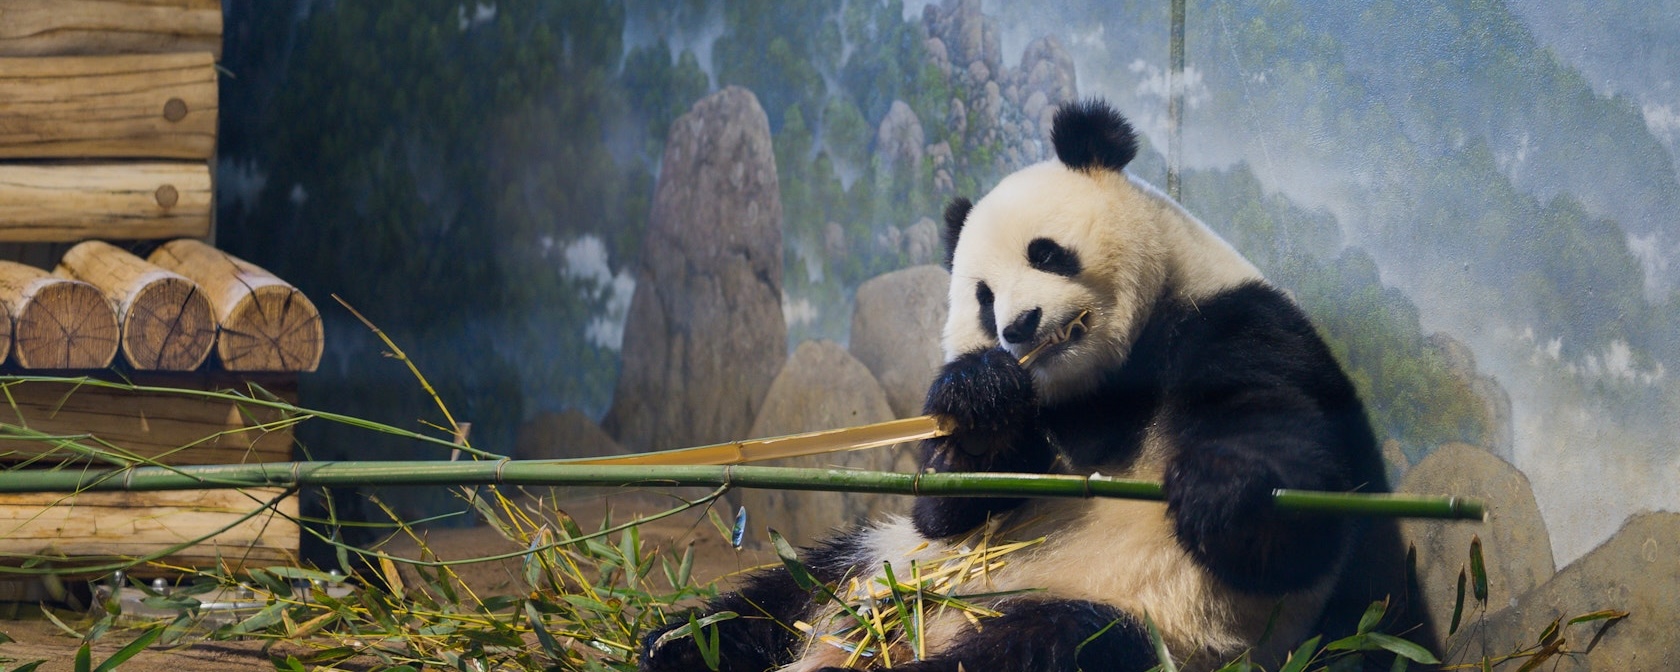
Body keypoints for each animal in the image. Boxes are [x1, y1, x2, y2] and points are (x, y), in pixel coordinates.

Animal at [640, 99, 1399, 672]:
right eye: (981, 298)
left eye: (1046, 252)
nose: (1019, 326)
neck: (1104, 383)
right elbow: (948, 501)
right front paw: (981, 404)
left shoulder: (1237, 320)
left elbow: (1291, 493)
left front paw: (1221, 489)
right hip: (881, 560)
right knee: (779, 594)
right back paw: (673, 644)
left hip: (1132, 623)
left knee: (1048, 647)